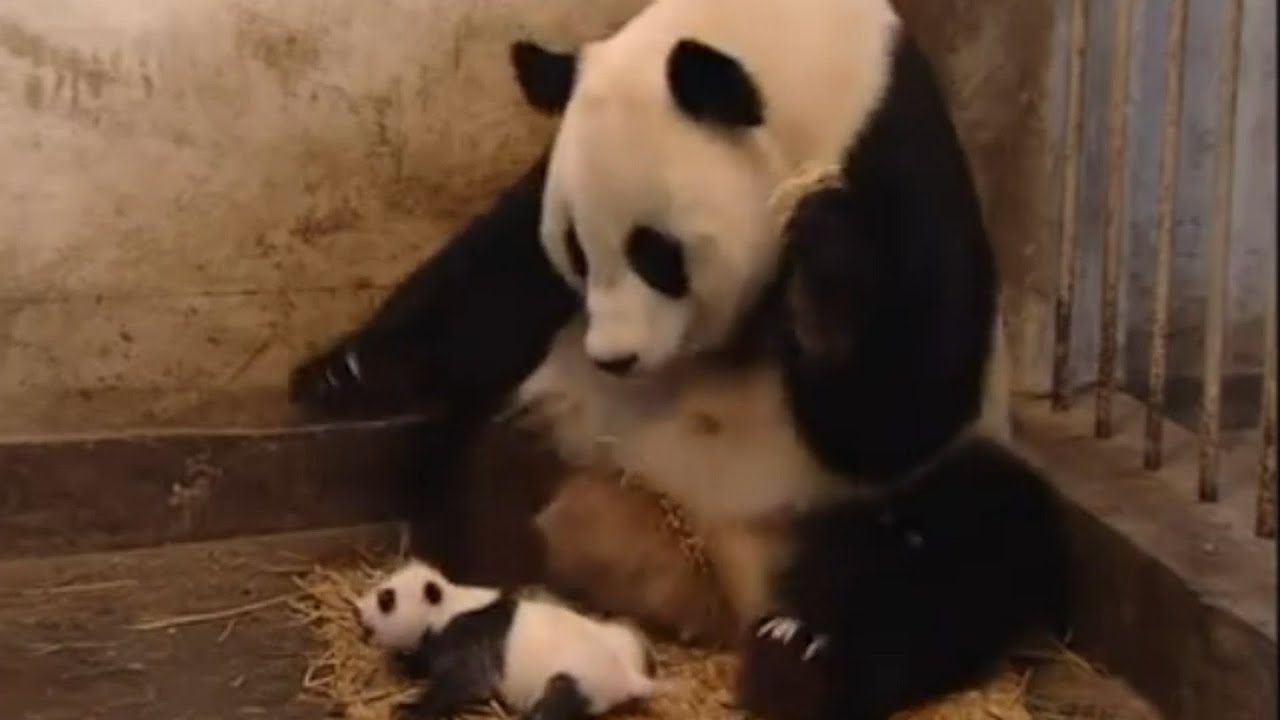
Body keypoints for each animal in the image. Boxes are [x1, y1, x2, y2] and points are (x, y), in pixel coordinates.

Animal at [355, 559, 658, 720]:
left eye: (386, 600)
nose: (360, 615)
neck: (447, 608)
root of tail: (628, 676)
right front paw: (405, 662)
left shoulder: (470, 637)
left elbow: (465, 681)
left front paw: (411, 708)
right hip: (621, 637)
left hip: (578, 679)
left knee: (553, 704)